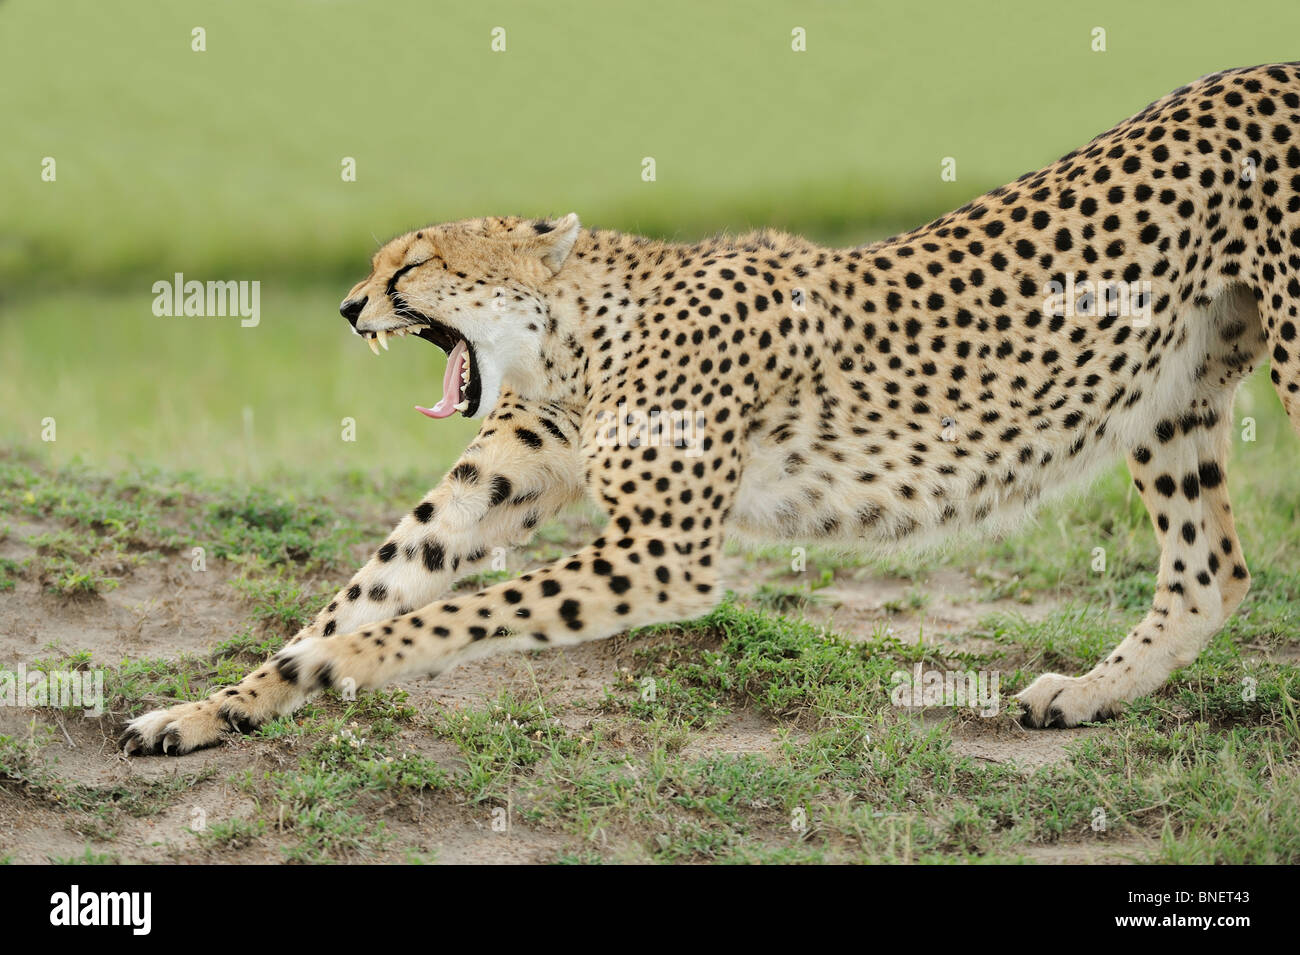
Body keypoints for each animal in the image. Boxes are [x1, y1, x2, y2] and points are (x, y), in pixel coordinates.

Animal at [122, 63, 1300, 755]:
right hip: (1173, 385)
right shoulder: (500, 486)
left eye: (412, 264)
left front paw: (342, 668)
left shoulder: (663, 550)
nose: (347, 304)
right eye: (377, 266)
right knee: (1210, 569)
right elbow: (371, 587)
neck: (575, 337)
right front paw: (221, 704)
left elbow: (442, 614)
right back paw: (1088, 695)